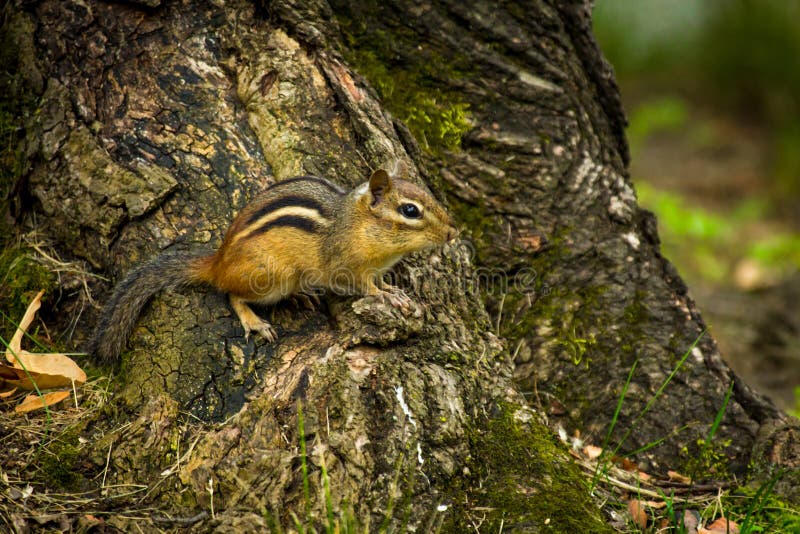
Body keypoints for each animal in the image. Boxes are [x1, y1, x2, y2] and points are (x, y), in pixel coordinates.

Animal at [87, 165, 458, 364]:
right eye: (410, 210)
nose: (452, 232)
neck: (357, 224)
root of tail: (218, 262)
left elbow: (379, 282)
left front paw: (394, 290)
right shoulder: (346, 266)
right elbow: (364, 287)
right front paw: (387, 296)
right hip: (271, 277)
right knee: (231, 294)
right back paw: (254, 321)